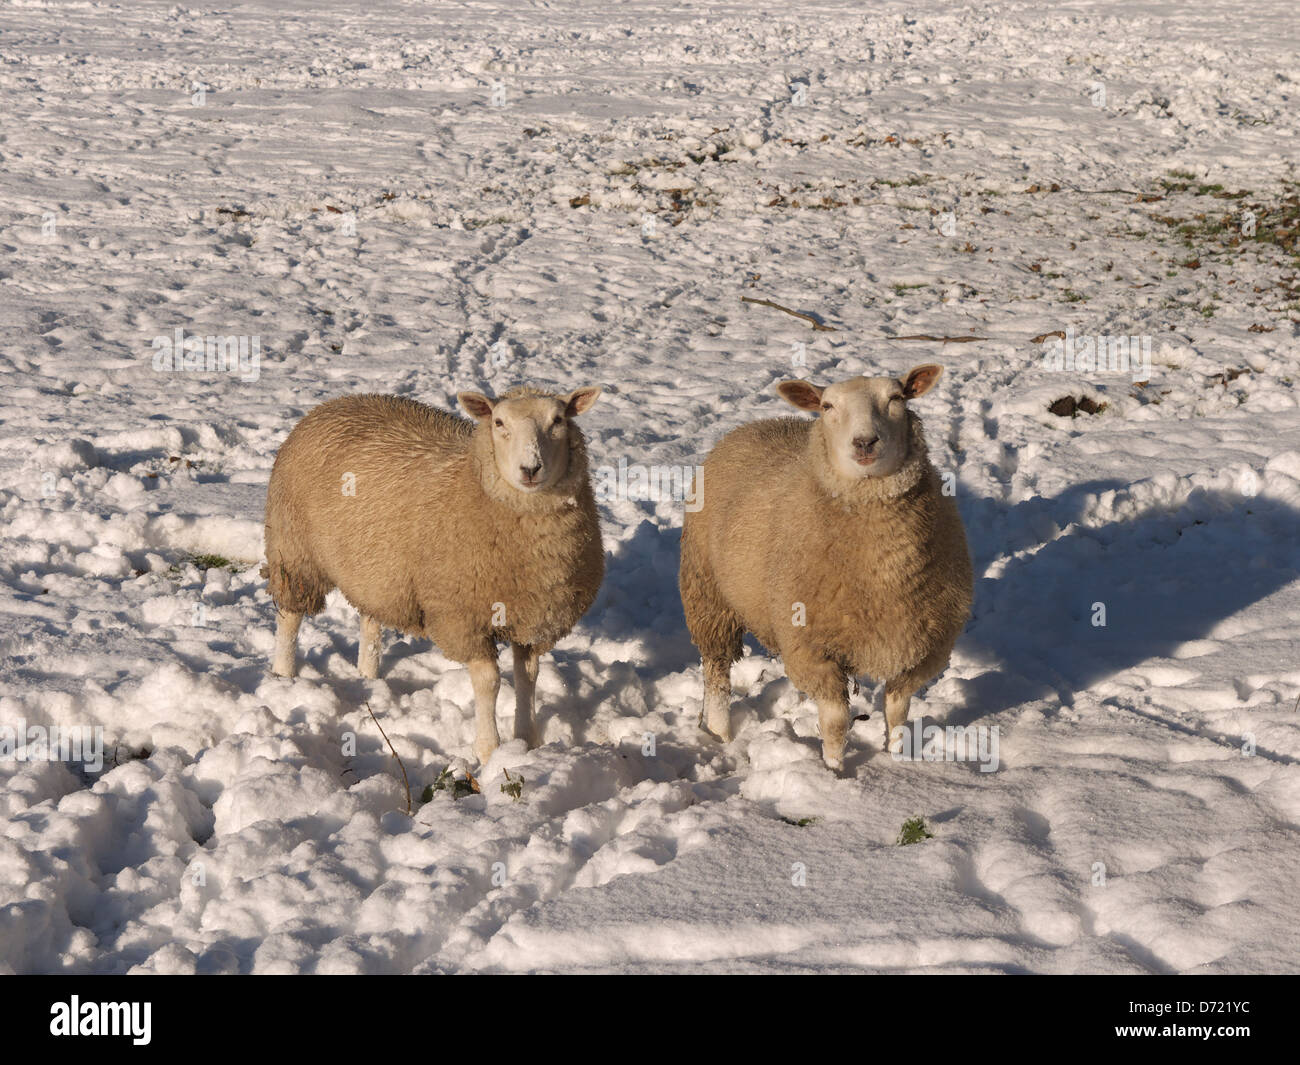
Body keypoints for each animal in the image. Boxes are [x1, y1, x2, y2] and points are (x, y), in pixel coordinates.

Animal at [263, 385, 605, 765]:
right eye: (499, 423)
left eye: (558, 420)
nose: (530, 468)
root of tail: (337, 401)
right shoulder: (464, 617)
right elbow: (489, 682)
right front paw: (489, 751)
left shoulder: (533, 619)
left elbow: (527, 676)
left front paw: (526, 743)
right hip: (295, 549)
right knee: (290, 617)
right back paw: (284, 675)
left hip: (375, 567)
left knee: (371, 618)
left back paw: (368, 676)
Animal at [679, 365, 972, 771]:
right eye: (828, 406)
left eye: (897, 398)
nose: (865, 443)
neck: (882, 571)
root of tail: (757, 424)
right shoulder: (814, 648)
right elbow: (835, 723)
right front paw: (834, 772)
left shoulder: (920, 647)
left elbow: (898, 713)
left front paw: (896, 762)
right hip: (708, 592)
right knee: (717, 669)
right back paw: (722, 734)